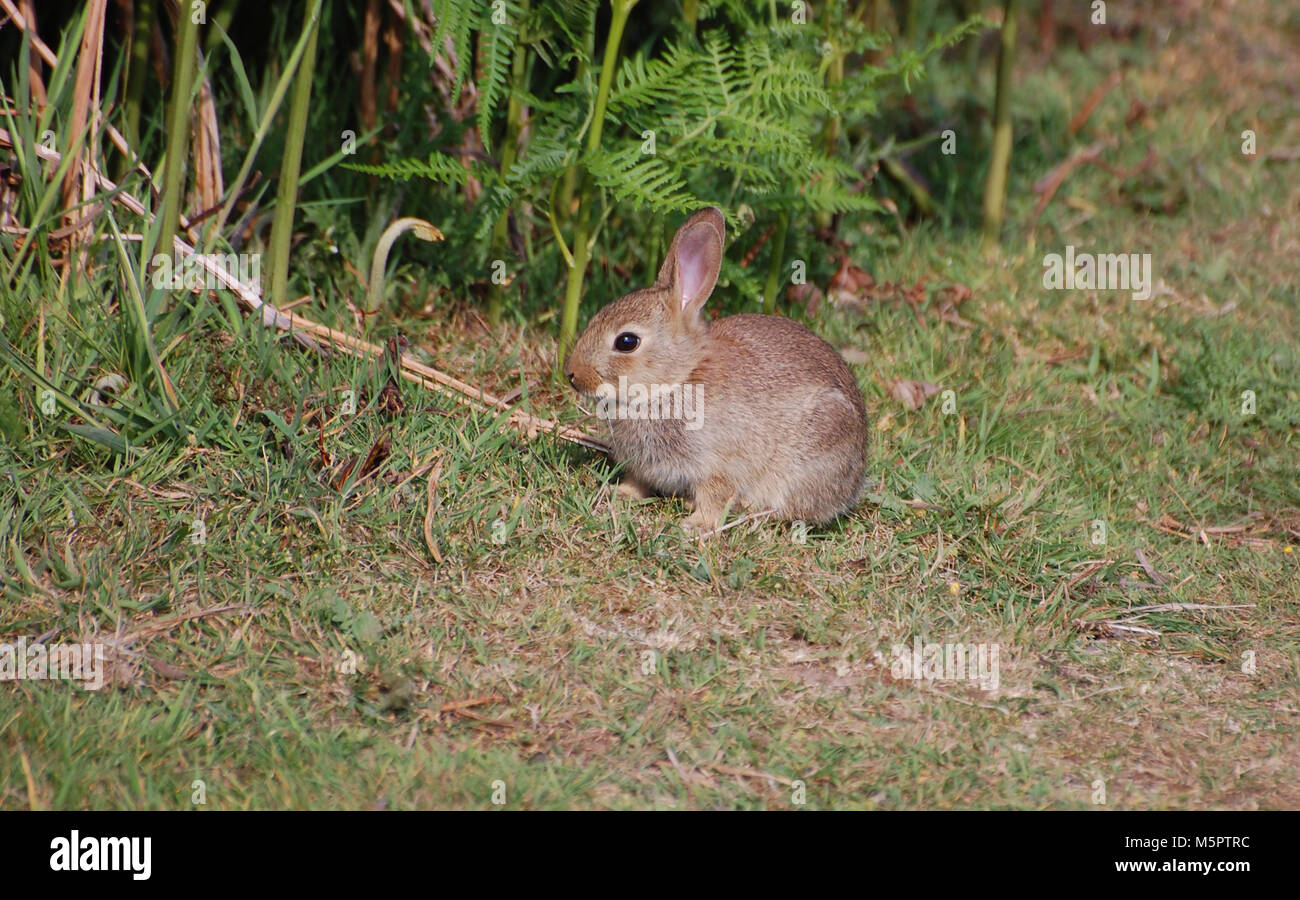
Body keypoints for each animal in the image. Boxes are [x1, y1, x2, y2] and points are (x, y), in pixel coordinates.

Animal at [563, 207, 869, 534]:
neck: (678, 379)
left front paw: (695, 525)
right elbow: (638, 482)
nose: (572, 375)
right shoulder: (643, 467)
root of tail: (856, 479)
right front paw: (618, 493)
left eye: (626, 342)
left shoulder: (719, 465)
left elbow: (715, 496)